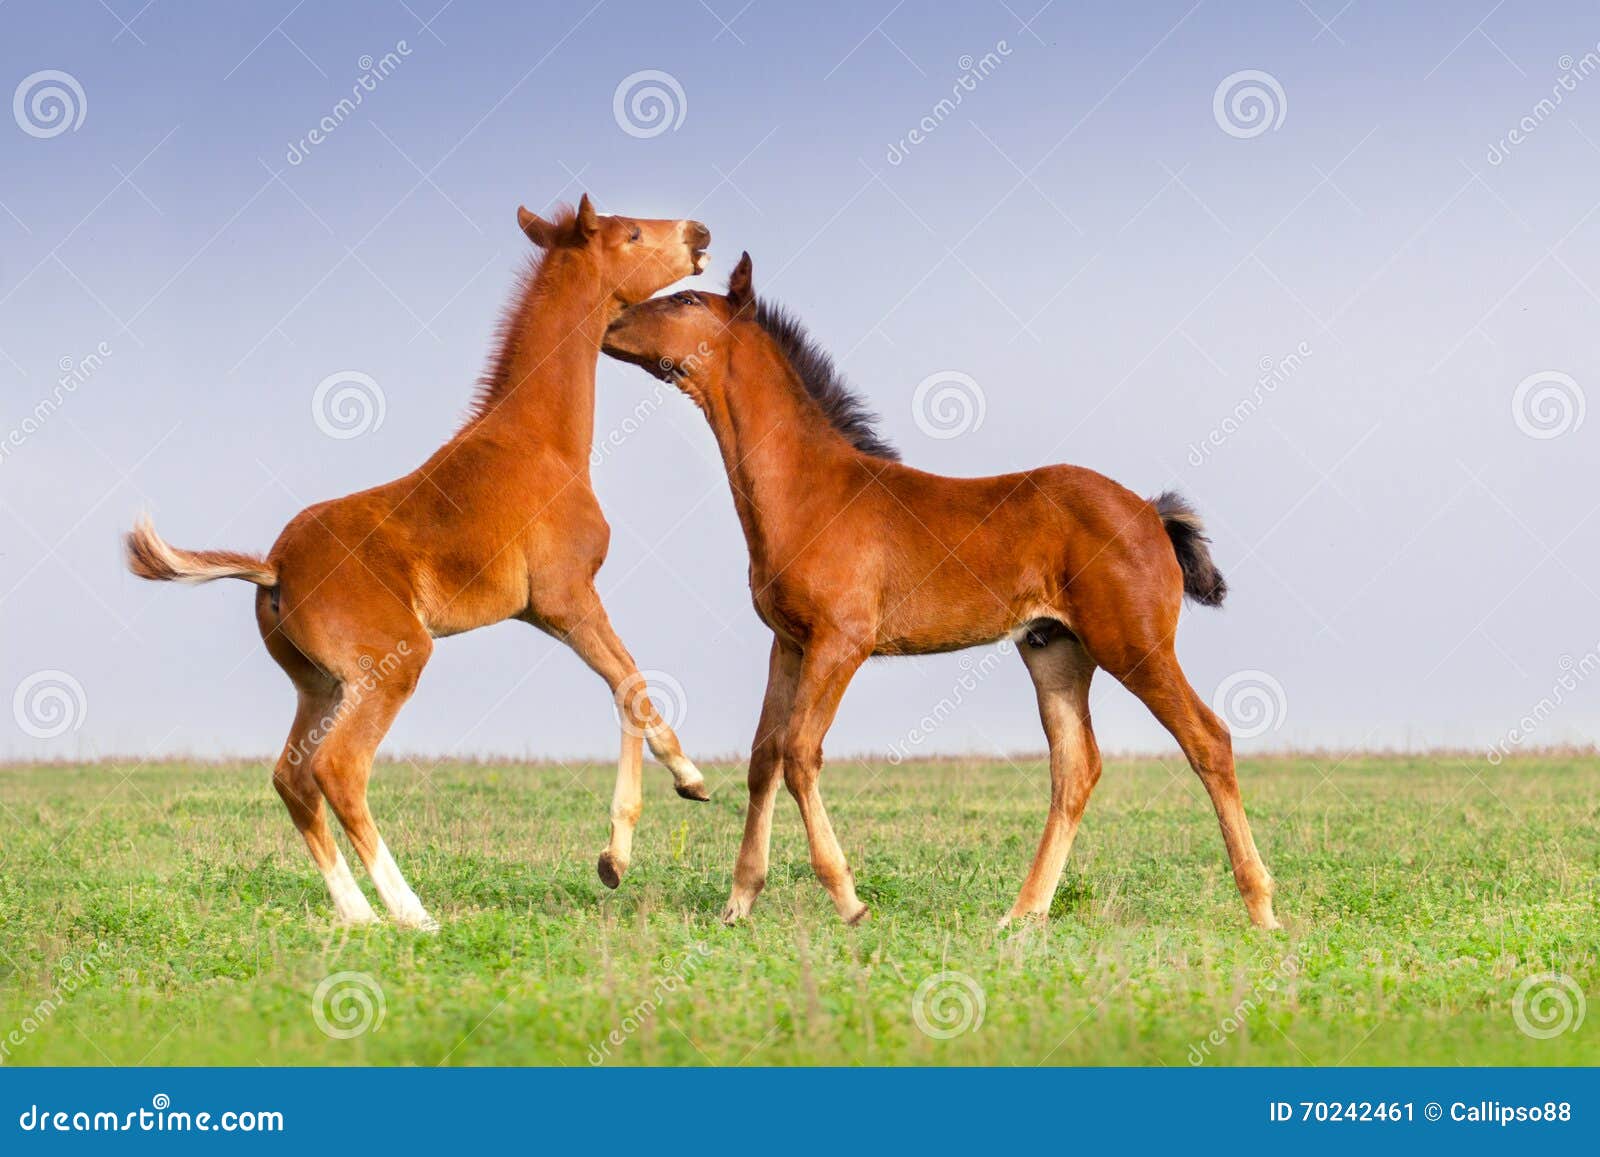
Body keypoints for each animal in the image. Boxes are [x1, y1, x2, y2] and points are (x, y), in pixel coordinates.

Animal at [126, 195, 713, 929]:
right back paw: (411, 912)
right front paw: (681, 788)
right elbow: (631, 680)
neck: (542, 442)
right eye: (632, 232)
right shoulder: (566, 597)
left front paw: (622, 849)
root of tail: (274, 566)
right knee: (337, 770)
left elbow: (621, 685)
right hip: (395, 661)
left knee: (292, 776)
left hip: (321, 683)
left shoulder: (543, 614)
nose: (700, 234)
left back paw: (358, 914)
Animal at [600, 252, 1281, 930]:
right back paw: (1023, 914)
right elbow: (763, 758)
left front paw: (847, 898)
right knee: (1076, 769)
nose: (610, 322)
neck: (809, 490)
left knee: (1208, 740)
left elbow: (799, 753)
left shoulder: (840, 643)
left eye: (686, 301)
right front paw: (739, 899)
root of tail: (1150, 512)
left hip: (1133, 644)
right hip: (1055, 650)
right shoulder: (788, 643)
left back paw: (1261, 907)